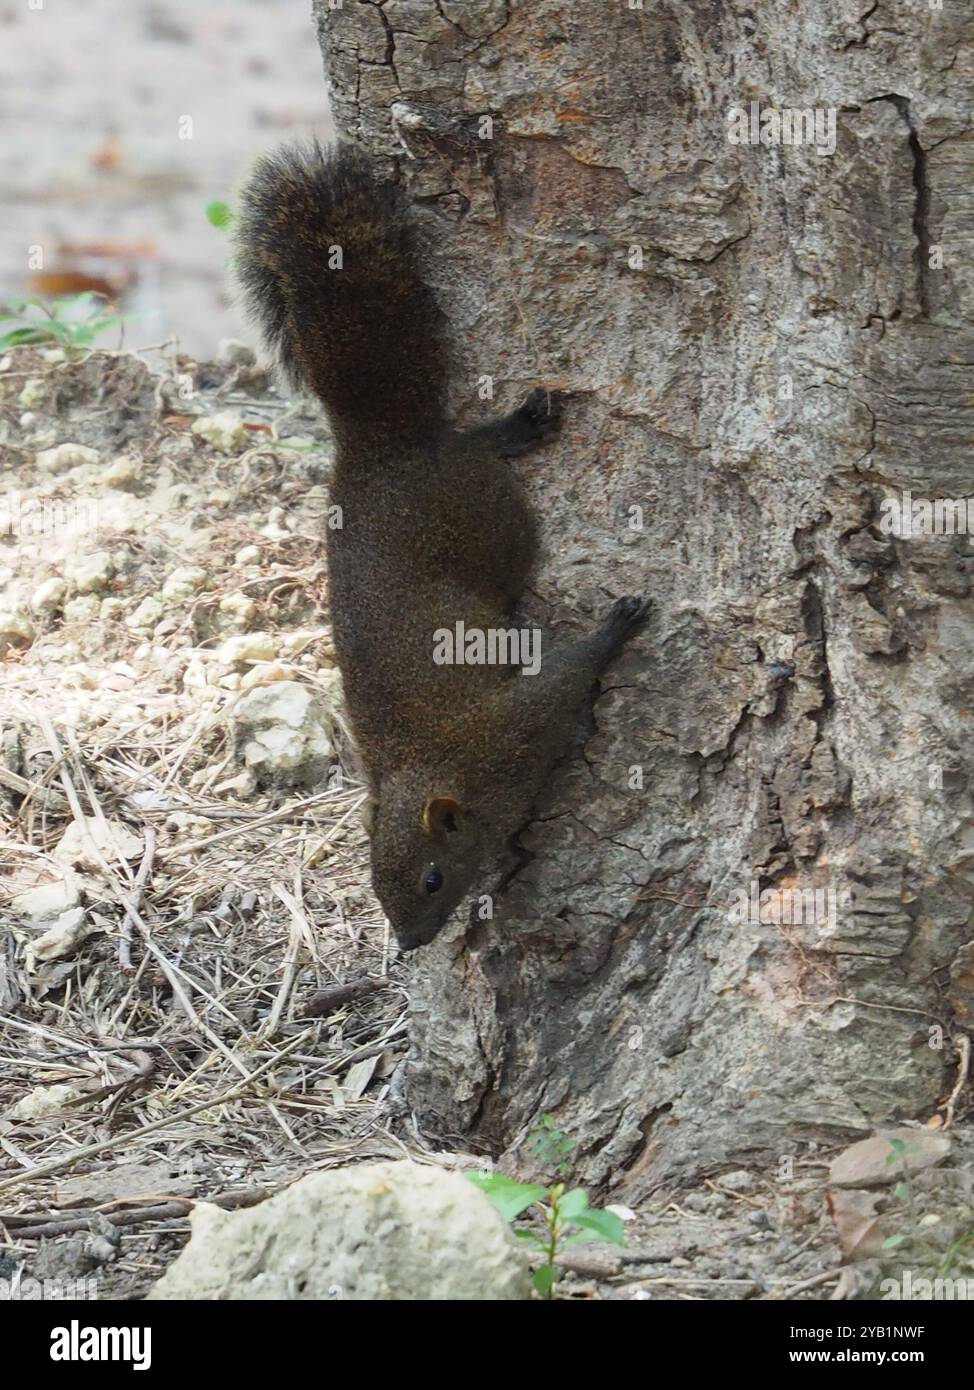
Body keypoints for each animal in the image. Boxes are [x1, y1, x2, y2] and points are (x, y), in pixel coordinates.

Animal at [236, 141, 648, 951]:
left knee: (475, 453)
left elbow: (570, 674)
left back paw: (518, 428)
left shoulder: (511, 731)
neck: (429, 770)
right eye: (374, 884)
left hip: (486, 516)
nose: (408, 943)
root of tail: (376, 448)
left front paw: (617, 625)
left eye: (432, 879)